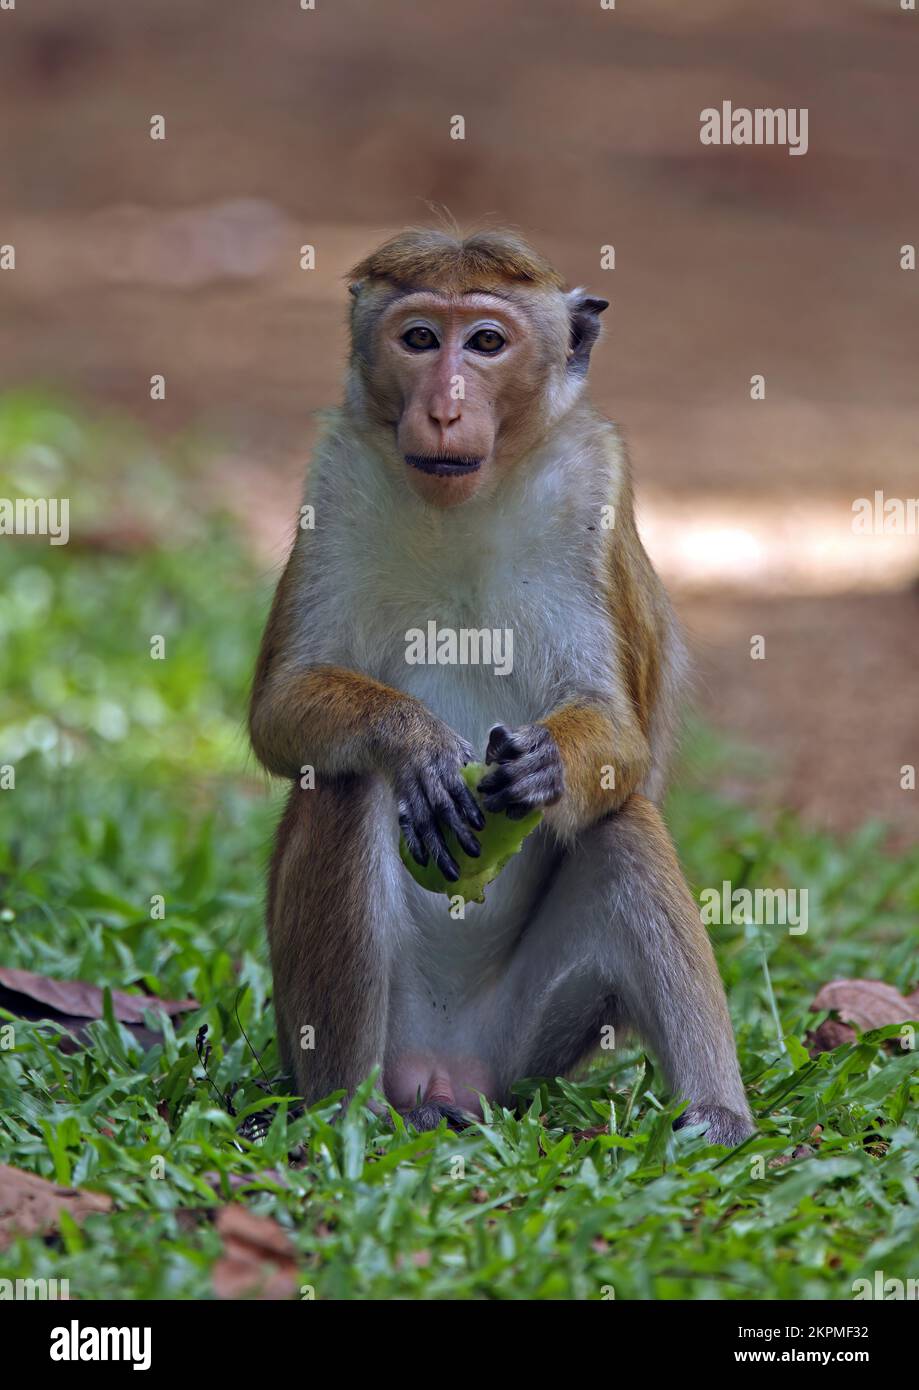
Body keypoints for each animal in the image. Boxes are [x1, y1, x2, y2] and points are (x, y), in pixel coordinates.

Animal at [249, 226, 755, 1147]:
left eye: (485, 342)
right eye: (419, 338)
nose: (445, 408)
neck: (463, 502)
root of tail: (447, 1071)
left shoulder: (593, 486)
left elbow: (619, 740)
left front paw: (544, 764)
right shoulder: (332, 479)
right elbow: (281, 709)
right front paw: (410, 740)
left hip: (530, 1042)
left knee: (623, 825)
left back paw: (715, 1117)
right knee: (345, 785)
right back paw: (349, 1115)